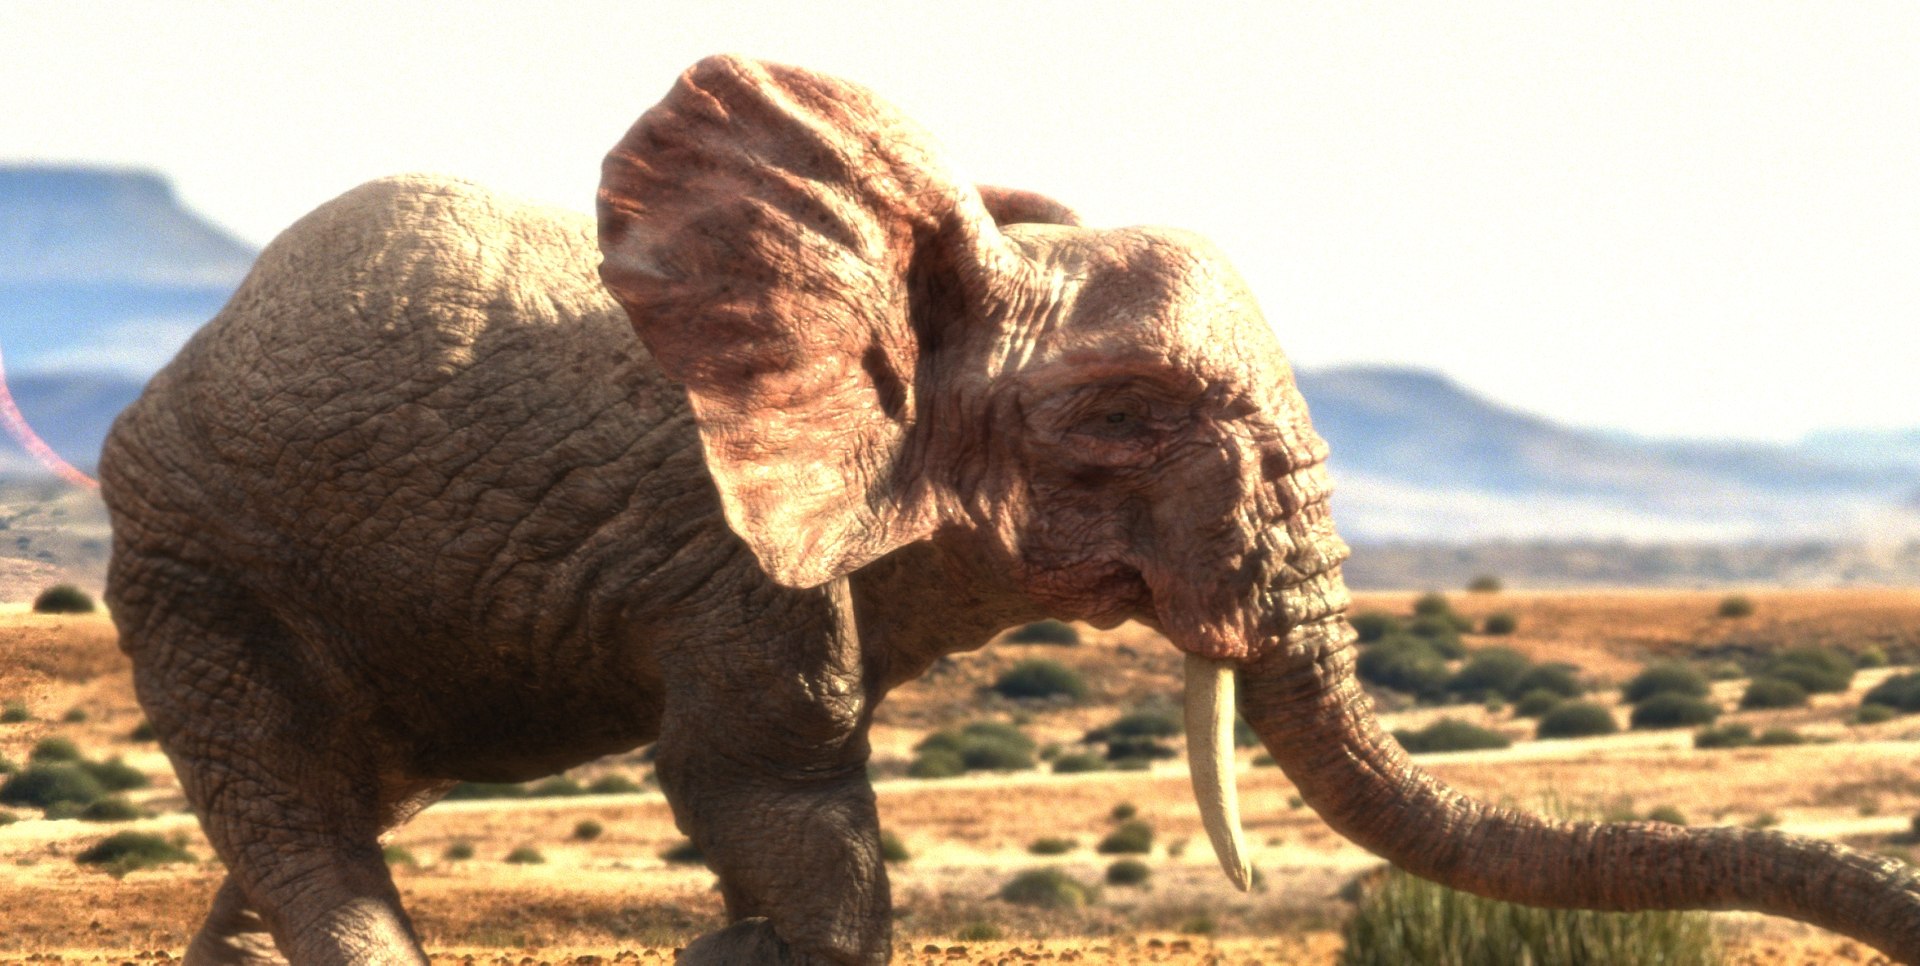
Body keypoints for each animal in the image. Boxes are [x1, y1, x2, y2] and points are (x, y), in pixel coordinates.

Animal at [97, 54, 1920, 965]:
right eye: (1127, 423)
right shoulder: (730, 546)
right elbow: (766, 778)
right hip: (191, 556)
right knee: (300, 811)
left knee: (330, 812)